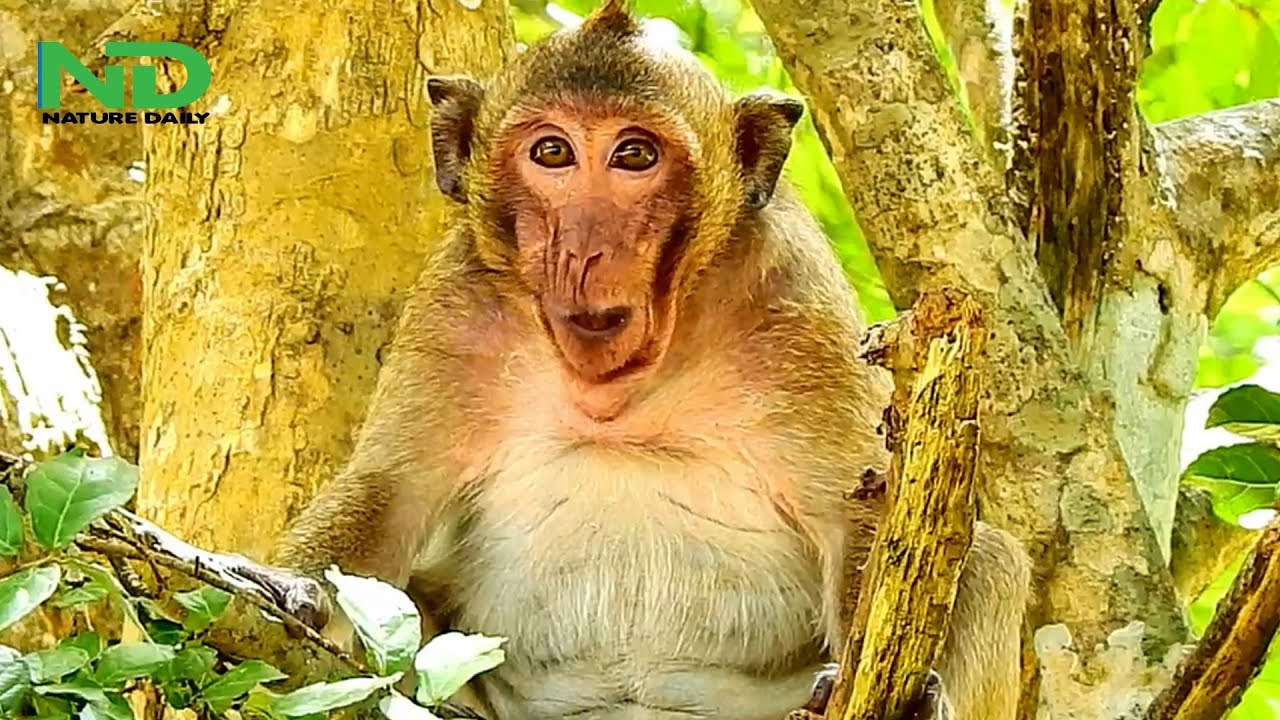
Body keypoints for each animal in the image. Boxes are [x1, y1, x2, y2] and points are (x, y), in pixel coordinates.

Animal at [266, 2, 1033, 719]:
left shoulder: (796, 298)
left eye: (635, 155)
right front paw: (291, 588)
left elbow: (864, 506)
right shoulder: (455, 305)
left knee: (993, 564)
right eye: (553, 152)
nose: (584, 248)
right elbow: (390, 493)